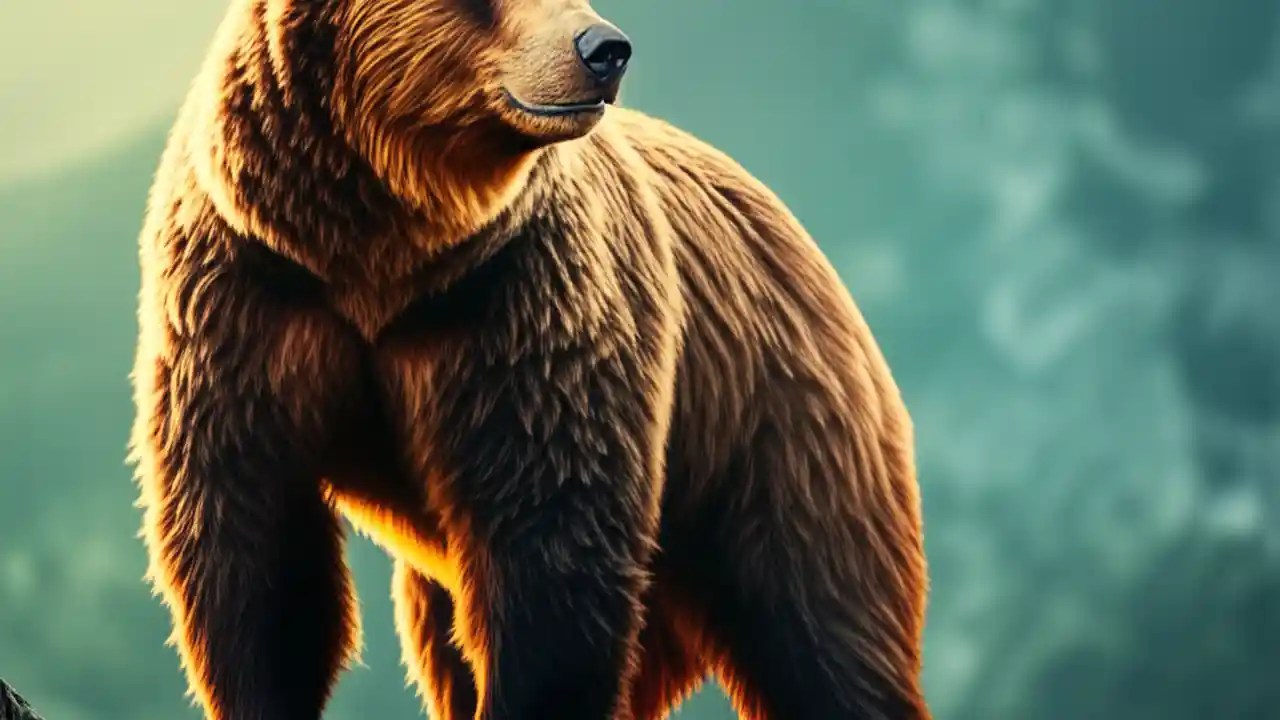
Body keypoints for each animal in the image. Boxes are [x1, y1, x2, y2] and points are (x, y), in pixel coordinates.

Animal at [128, 0, 930, 719]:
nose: (606, 49)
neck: (381, 250)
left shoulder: (524, 306)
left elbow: (549, 546)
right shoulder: (250, 297)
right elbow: (252, 550)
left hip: (778, 429)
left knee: (822, 627)